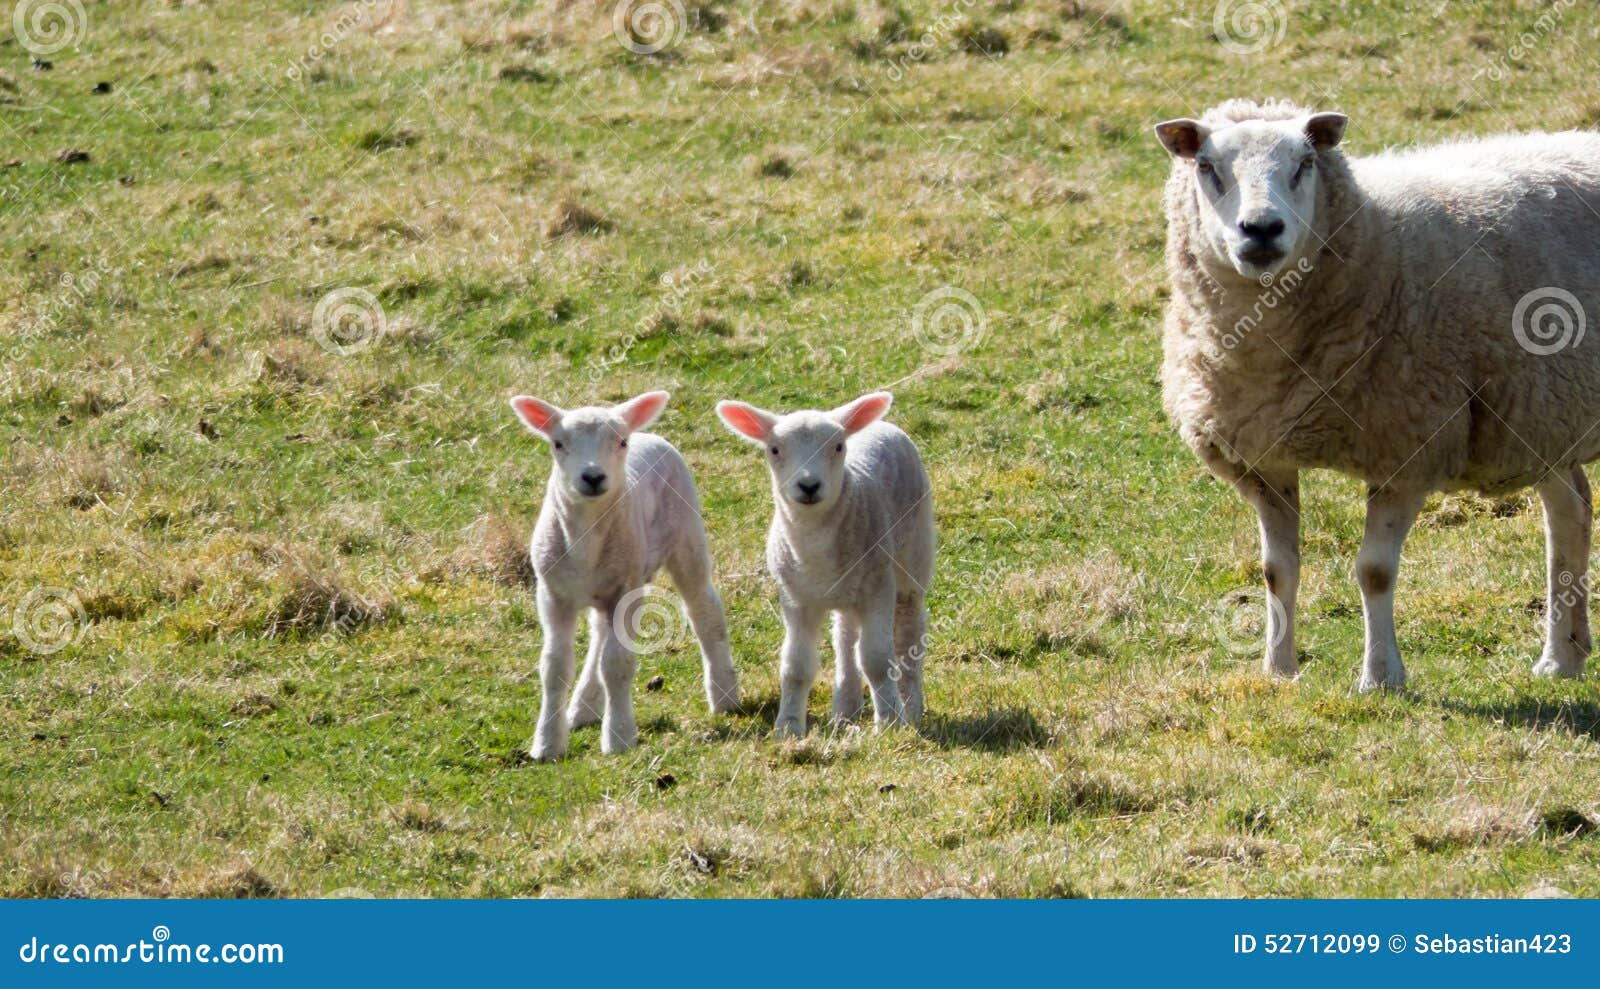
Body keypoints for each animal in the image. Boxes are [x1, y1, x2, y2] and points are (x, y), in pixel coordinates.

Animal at [509, 390, 740, 759]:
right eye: (558, 443)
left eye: (620, 443)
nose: (592, 477)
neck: (586, 538)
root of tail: (648, 433)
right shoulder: (552, 594)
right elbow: (555, 667)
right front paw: (546, 743)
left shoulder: (626, 591)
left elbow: (617, 665)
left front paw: (618, 737)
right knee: (601, 634)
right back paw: (583, 708)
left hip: (686, 536)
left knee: (704, 610)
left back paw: (724, 695)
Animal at [716, 391, 935, 737]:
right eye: (774, 449)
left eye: (838, 447)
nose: (808, 486)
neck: (815, 548)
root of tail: (884, 425)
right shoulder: (796, 599)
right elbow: (796, 666)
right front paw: (788, 728)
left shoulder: (878, 587)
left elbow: (877, 659)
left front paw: (889, 722)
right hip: (849, 591)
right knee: (846, 639)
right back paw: (845, 710)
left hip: (912, 556)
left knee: (908, 628)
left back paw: (910, 707)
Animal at [1155, 98, 1600, 691]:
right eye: (1206, 166)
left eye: (1305, 164)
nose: (1262, 229)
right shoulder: (1264, 458)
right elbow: (1277, 570)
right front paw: (1279, 670)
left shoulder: (1408, 447)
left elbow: (1374, 571)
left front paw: (1381, 678)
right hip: (1542, 413)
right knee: (1570, 509)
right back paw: (1561, 659)